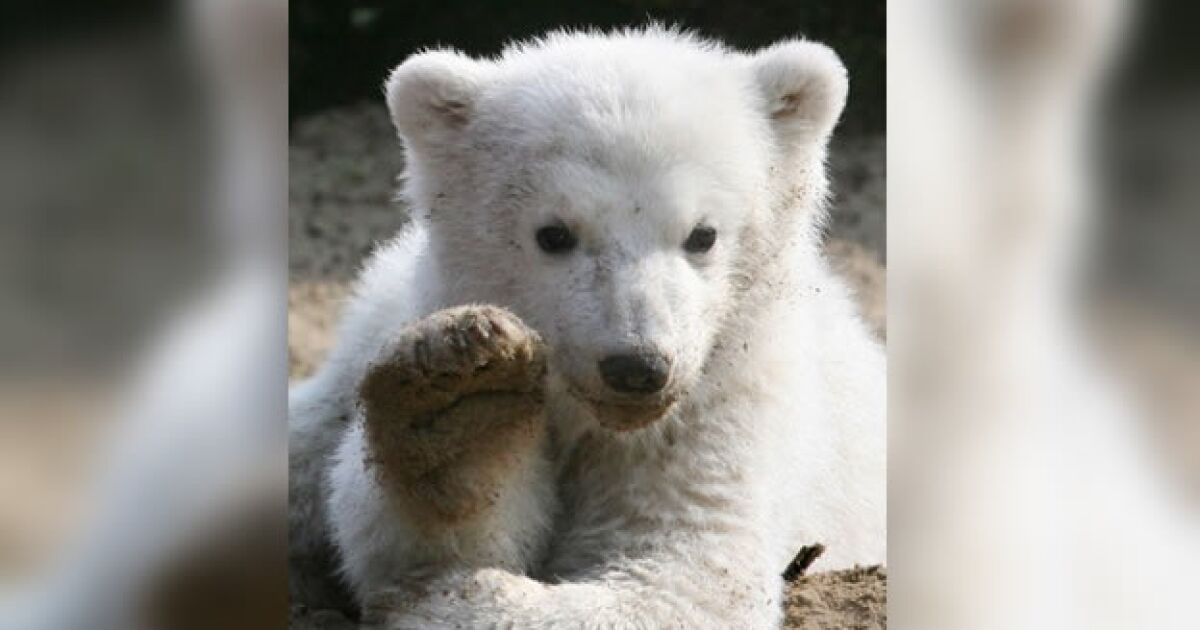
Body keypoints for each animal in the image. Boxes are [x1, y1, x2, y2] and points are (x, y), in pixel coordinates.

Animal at [288, 27, 885, 628]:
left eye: (703, 234)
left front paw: (444, 592)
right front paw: (458, 413)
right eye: (554, 234)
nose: (637, 367)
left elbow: (690, 568)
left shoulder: (718, 412)